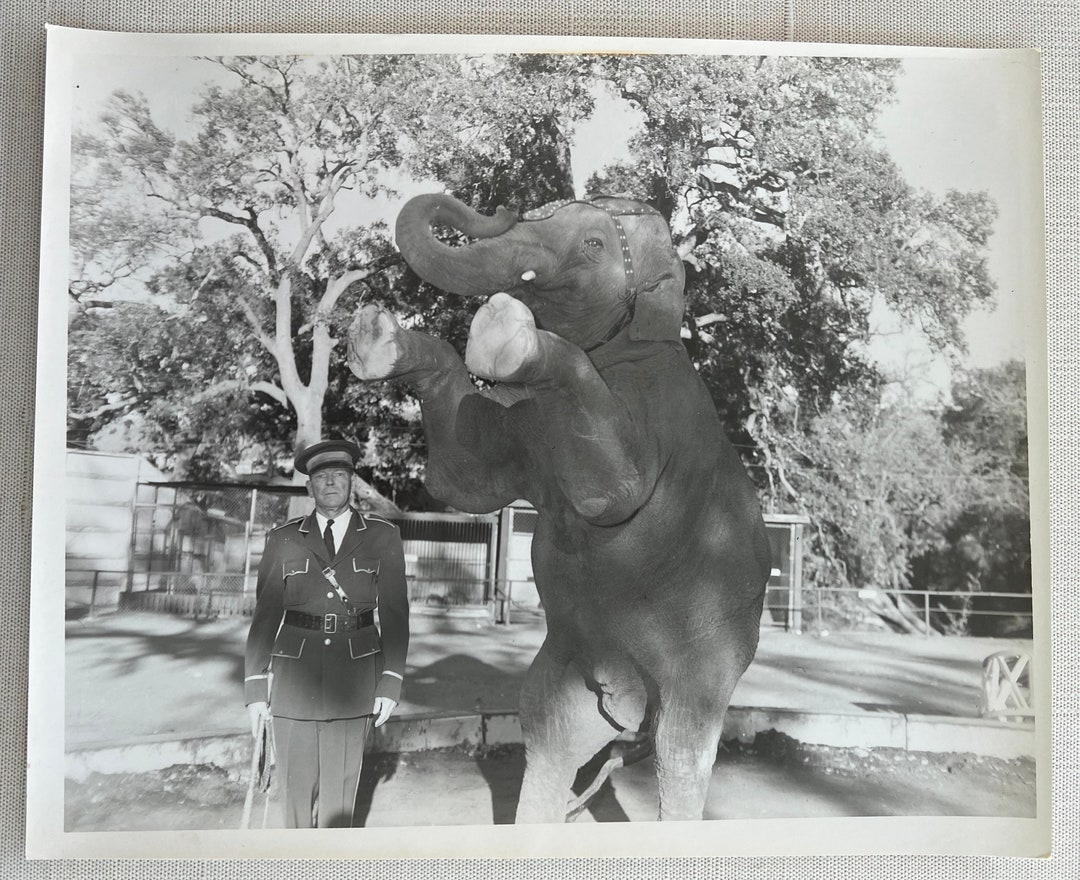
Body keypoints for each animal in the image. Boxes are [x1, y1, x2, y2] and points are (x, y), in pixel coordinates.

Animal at [347, 191, 772, 822]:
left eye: (594, 245)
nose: (501, 208)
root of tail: (630, 699)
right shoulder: (522, 426)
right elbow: (464, 481)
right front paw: (376, 337)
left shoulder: (661, 413)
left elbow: (615, 490)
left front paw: (504, 333)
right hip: (572, 653)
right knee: (550, 730)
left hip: (714, 648)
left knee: (681, 750)